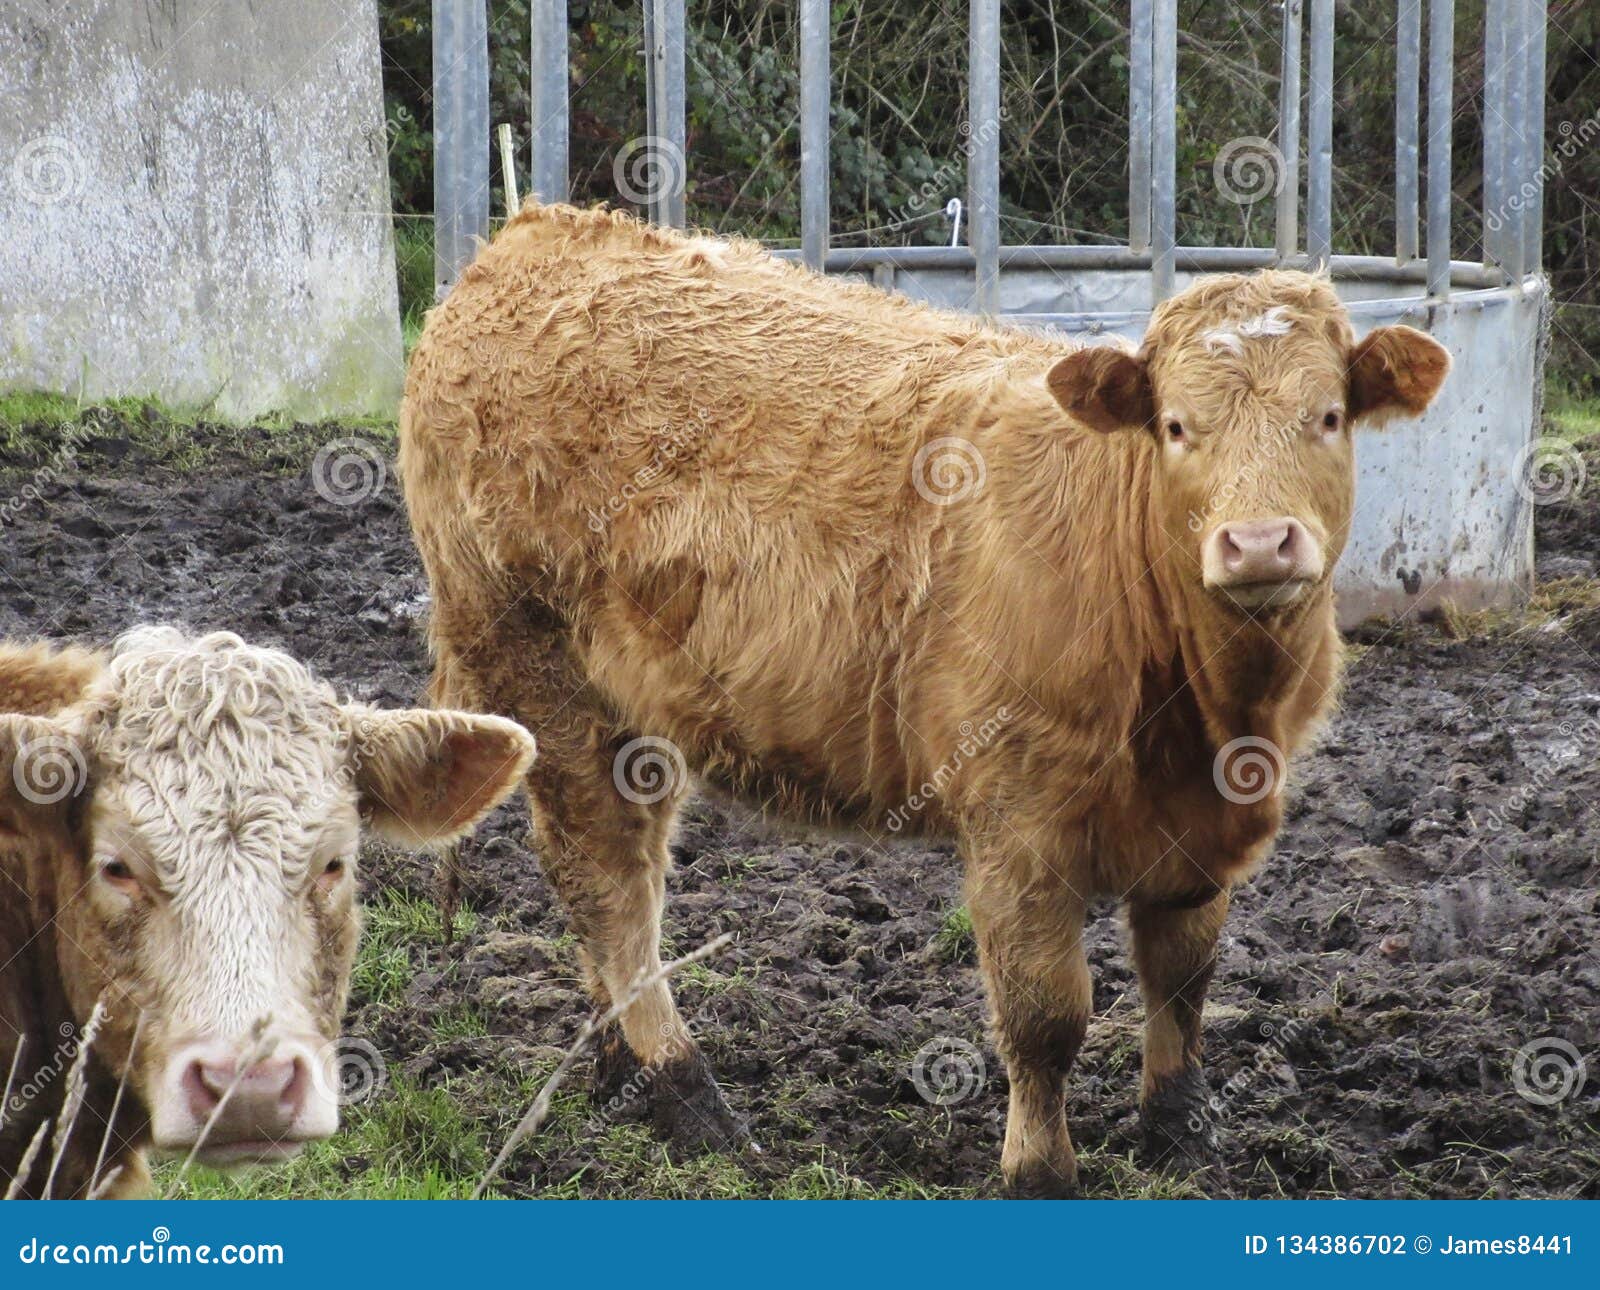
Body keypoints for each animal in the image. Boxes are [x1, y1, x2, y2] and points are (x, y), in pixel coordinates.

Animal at [398, 202, 1449, 1196]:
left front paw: (1181, 1133)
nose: (1260, 542)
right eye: (1179, 427)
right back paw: (686, 1093)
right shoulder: (1019, 819)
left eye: (1328, 417)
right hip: (538, 660)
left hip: (630, 714)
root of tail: (533, 238)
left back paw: (618, 1070)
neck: (1207, 714)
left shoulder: (1205, 826)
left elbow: (1182, 976)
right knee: (608, 880)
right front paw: (1040, 1174)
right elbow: (1045, 1015)